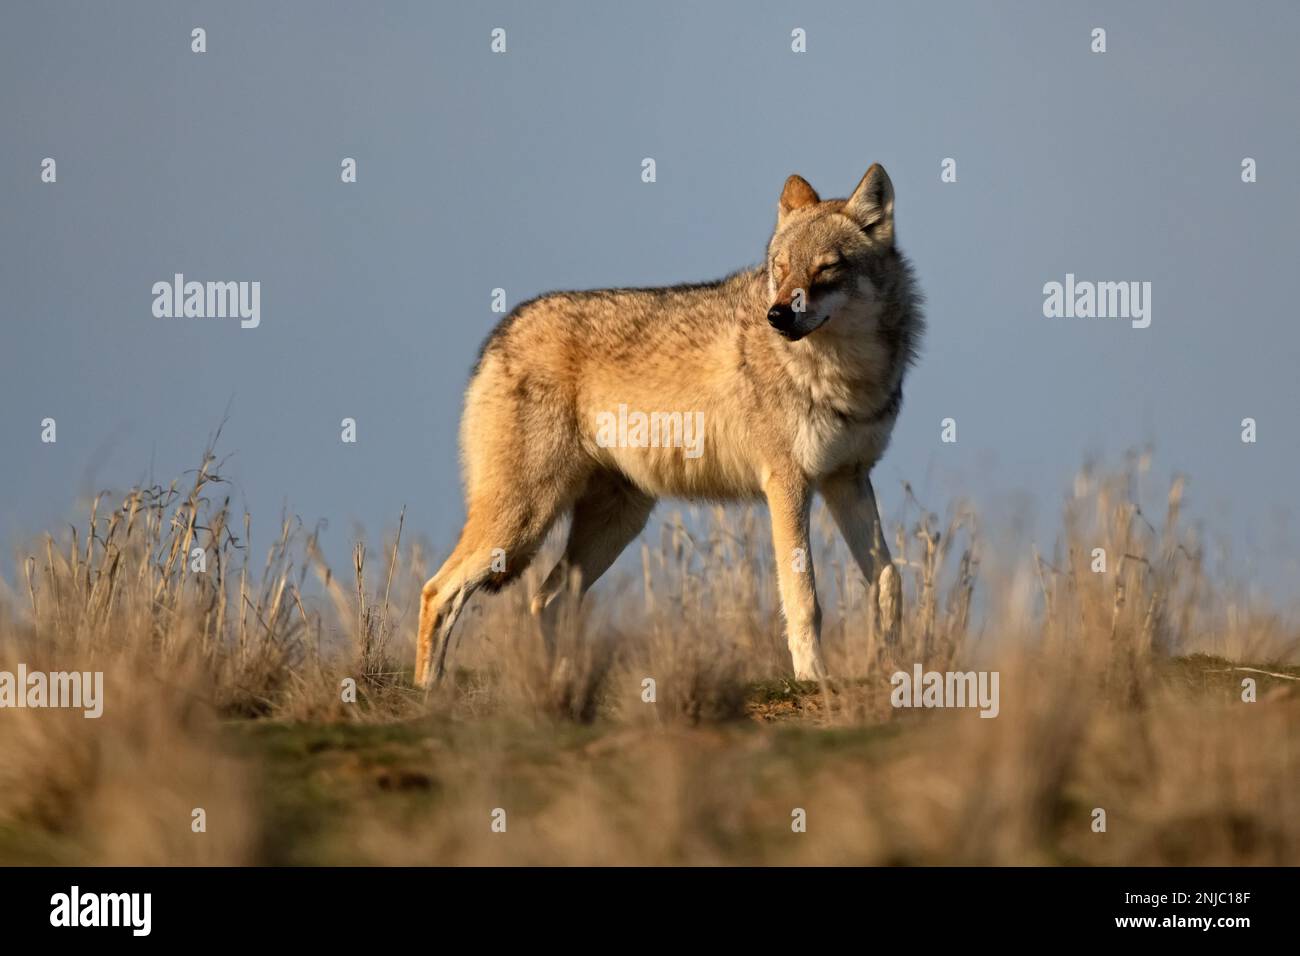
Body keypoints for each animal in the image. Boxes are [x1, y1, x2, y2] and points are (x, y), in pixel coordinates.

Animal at [416, 164, 923, 686]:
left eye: (826, 269)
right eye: (780, 270)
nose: (778, 315)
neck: (845, 375)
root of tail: (501, 331)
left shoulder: (847, 478)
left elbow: (890, 579)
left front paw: (891, 662)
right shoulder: (788, 484)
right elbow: (805, 599)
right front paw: (813, 677)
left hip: (613, 524)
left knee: (547, 599)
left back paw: (561, 686)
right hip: (524, 522)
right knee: (438, 591)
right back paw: (431, 693)